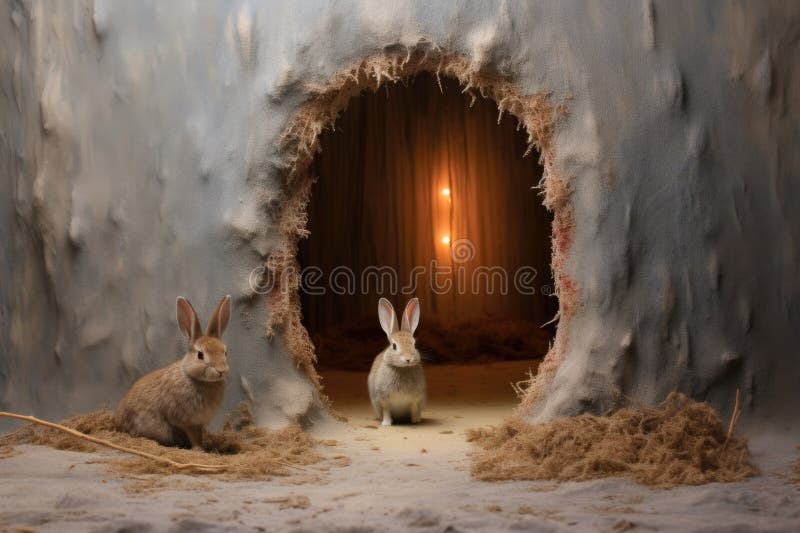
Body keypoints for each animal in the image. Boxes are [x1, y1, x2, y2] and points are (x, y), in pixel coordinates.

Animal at [114, 295, 231, 449]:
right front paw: (199, 449)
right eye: (200, 355)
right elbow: (194, 436)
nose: (221, 370)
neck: (197, 379)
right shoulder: (187, 421)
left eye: (225, 352)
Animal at [367, 297, 426, 426]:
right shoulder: (384, 400)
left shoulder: (415, 400)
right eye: (394, 346)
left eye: (414, 344)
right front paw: (386, 424)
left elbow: (414, 408)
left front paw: (415, 421)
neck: (402, 369)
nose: (408, 359)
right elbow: (386, 411)